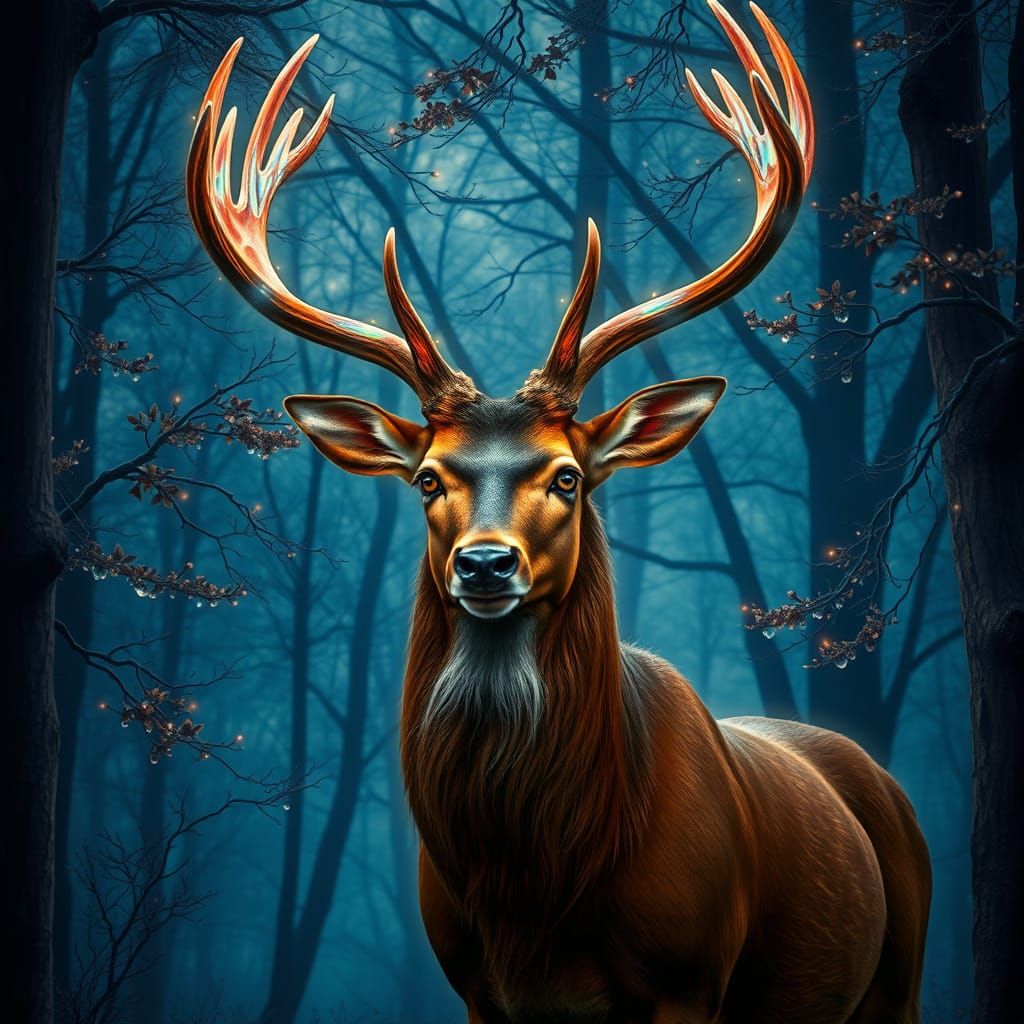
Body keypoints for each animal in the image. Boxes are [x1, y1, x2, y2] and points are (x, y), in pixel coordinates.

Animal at [185, 3, 931, 1021]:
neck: (534, 895)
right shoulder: (472, 986)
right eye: (428, 479)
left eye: (570, 476)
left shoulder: (690, 974)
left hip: (902, 968)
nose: (485, 564)